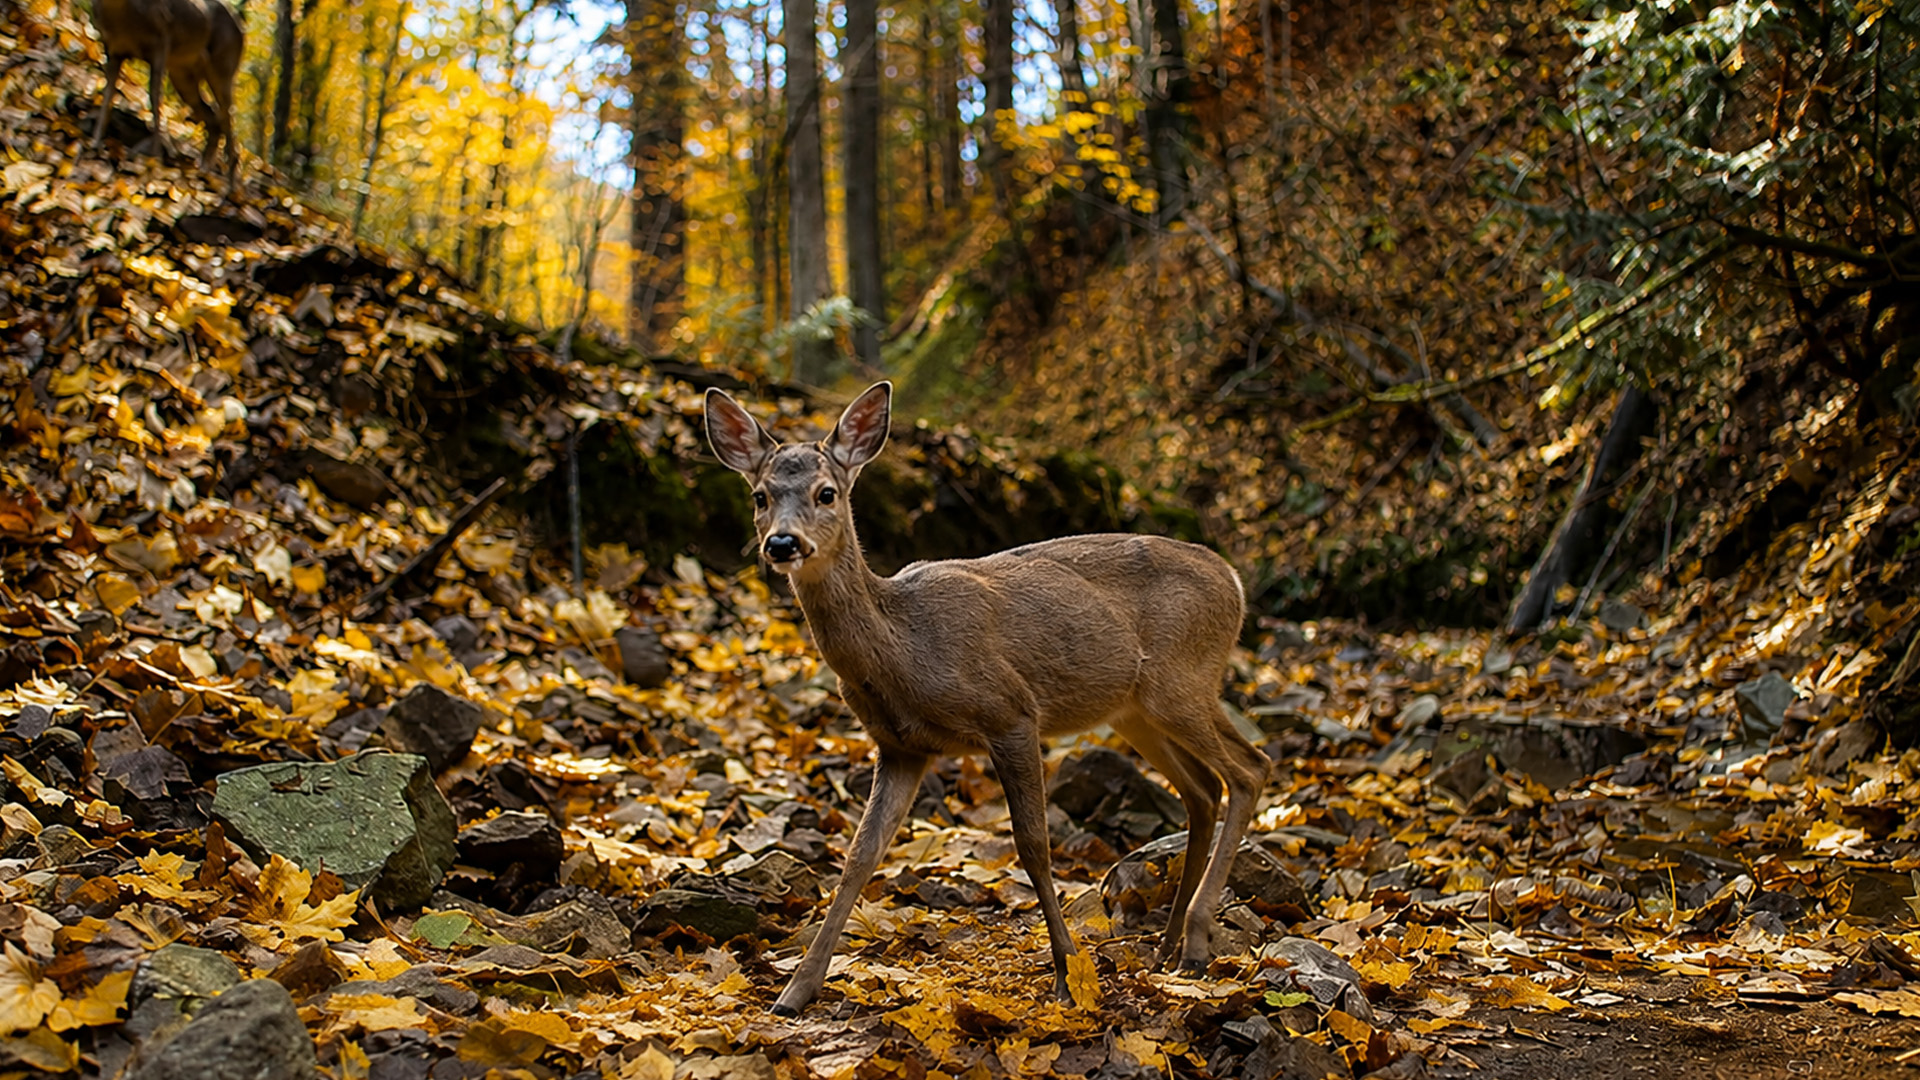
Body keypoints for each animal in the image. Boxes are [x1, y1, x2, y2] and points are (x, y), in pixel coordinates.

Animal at [88, 0, 243, 176]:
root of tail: (241, 26)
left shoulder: (161, 41)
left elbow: (155, 98)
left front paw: (155, 156)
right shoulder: (114, 48)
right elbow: (108, 94)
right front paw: (95, 143)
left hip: (223, 68)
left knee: (229, 116)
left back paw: (230, 180)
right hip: (182, 74)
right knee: (213, 115)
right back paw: (203, 168)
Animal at [705, 382, 1272, 1016]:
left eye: (826, 492)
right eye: (759, 495)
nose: (782, 543)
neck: (904, 647)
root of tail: (1234, 580)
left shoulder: (1010, 712)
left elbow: (1034, 847)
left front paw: (1068, 976)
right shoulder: (900, 747)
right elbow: (859, 856)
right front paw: (795, 990)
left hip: (1183, 679)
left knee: (1250, 769)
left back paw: (1194, 943)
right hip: (1134, 709)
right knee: (1202, 791)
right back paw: (1168, 946)